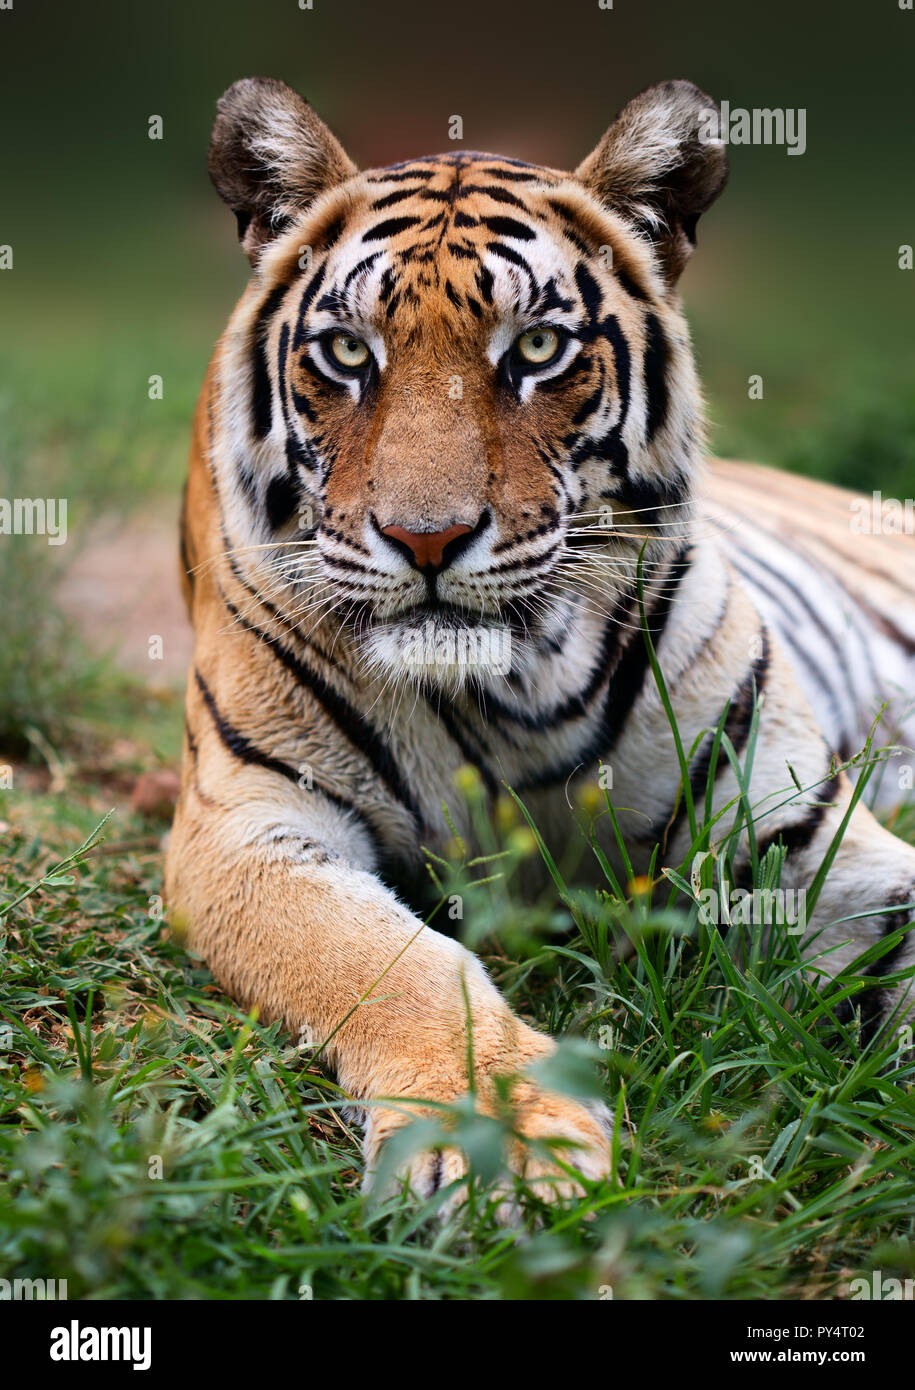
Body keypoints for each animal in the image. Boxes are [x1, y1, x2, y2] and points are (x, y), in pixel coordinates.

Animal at [166, 76, 915, 1210]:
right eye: (347, 353)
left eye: (534, 349)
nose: (426, 537)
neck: (513, 686)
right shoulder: (249, 824)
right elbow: (393, 964)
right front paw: (500, 1140)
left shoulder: (786, 826)